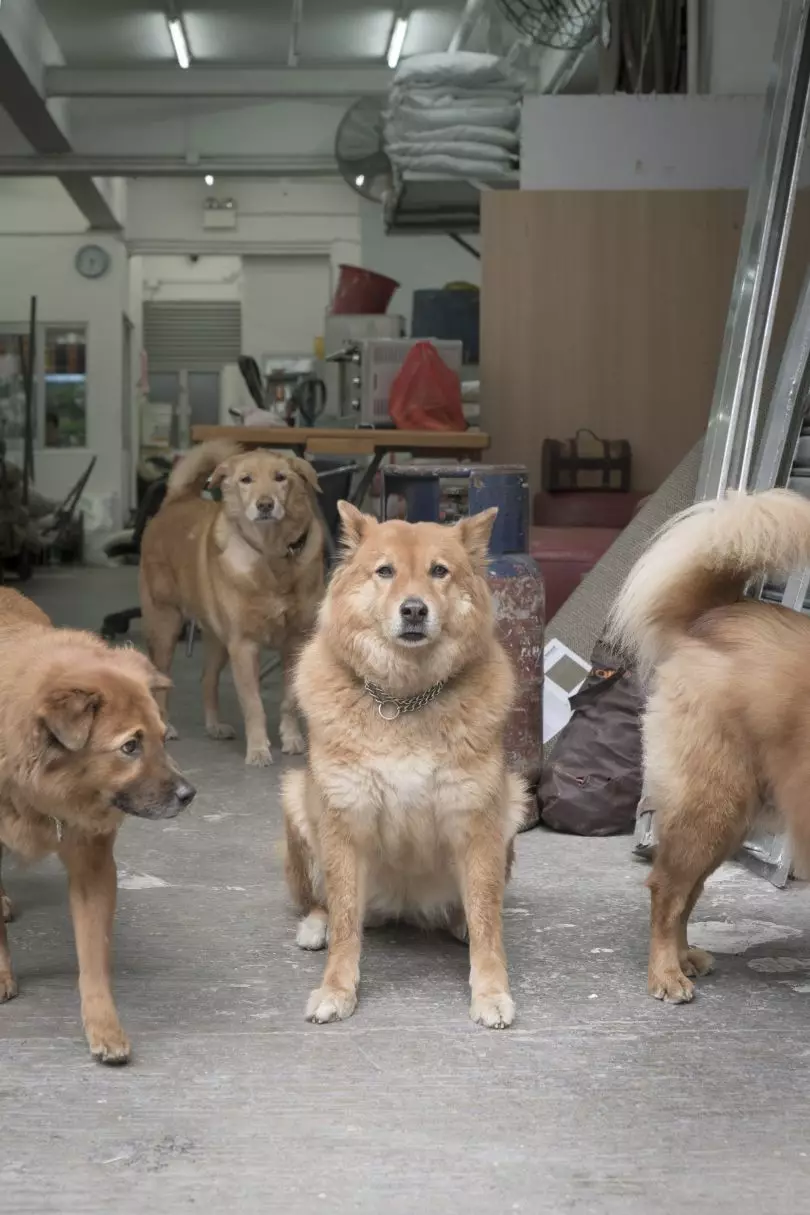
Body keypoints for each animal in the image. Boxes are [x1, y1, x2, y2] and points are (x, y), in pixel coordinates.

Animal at [0, 588, 195, 1064]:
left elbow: (93, 955)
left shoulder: (93, 866)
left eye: (162, 736)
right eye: (129, 746)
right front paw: (0, 975)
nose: (189, 795)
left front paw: (104, 1025)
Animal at [140, 442, 325, 763]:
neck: (272, 556)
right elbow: (253, 705)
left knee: (207, 678)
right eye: (246, 480)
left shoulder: (296, 643)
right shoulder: (244, 646)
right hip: (166, 627)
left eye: (280, 478)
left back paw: (214, 725)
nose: (265, 505)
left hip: (217, 639)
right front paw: (259, 749)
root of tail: (175, 500)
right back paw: (166, 727)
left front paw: (291, 739)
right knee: (160, 681)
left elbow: (290, 700)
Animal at [612, 486, 810, 1006]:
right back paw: (665, 973)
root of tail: (713, 617)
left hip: (728, 816)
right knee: (667, 889)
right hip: (713, 804)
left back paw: (682, 958)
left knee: (689, 892)